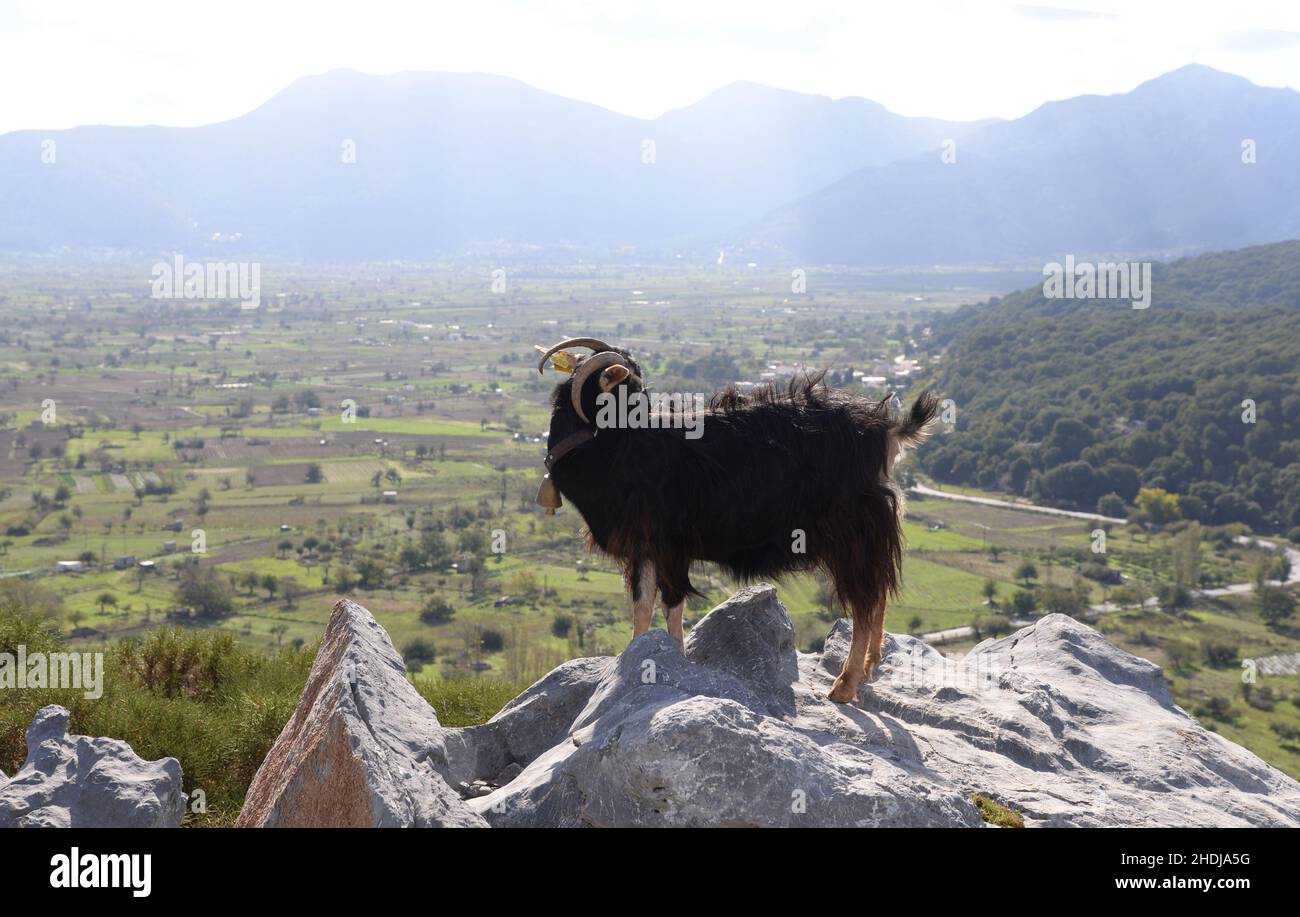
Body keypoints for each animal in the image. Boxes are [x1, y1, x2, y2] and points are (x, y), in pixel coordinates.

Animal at [534, 337, 939, 703]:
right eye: (632, 389)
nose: (651, 419)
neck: (619, 448)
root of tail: (885, 428)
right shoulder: (643, 549)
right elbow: (642, 606)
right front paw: (637, 655)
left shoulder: (671, 546)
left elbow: (672, 604)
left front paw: (675, 661)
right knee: (877, 593)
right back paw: (868, 668)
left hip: (852, 529)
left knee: (865, 601)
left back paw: (845, 684)